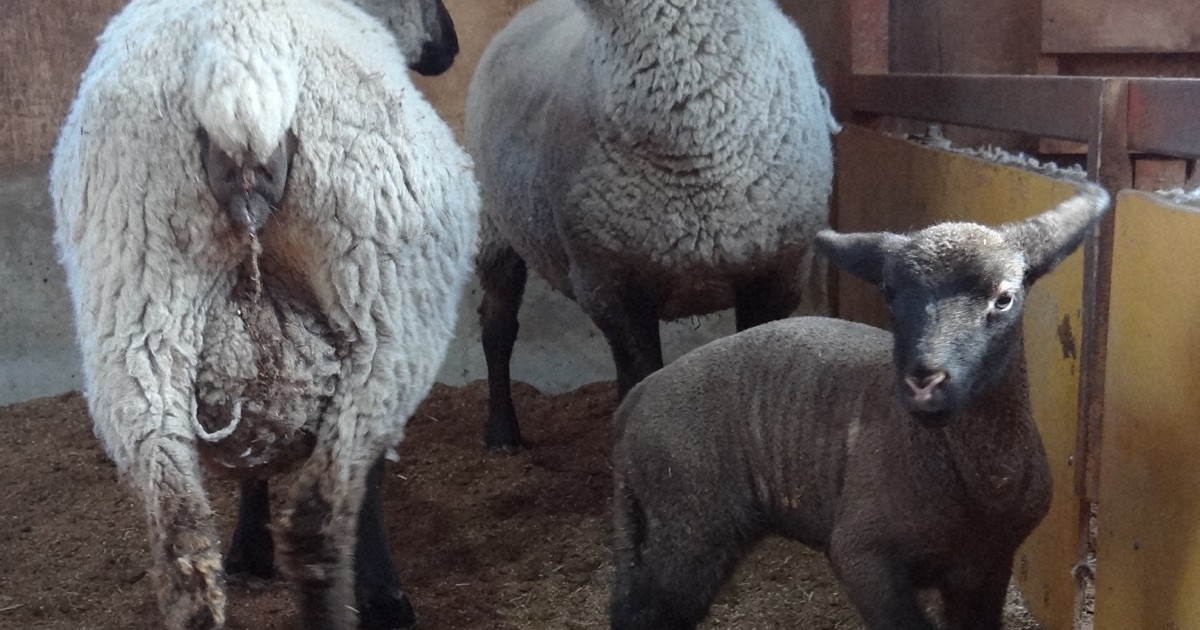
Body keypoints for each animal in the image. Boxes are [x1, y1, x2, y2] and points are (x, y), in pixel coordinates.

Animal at [48, 0, 478, 628]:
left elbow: (254, 445)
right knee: (322, 514)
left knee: (179, 528)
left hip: (134, 287)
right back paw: (361, 600)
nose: (449, 47)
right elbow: (368, 478)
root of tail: (238, 64)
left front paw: (249, 550)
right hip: (382, 302)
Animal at [465, 0, 841, 451]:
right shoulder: (609, 286)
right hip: (495, 229)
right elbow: (638, 386)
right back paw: (502, 433)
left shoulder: (780, 273)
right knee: (497, 327)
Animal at [608, 182, 1111, 630]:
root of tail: (639, 395)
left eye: (1004, 298)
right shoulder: (861, 554)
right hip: (691, 522)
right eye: (889, 292)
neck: (977, 483)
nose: (924, 381)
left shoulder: (988, 566)